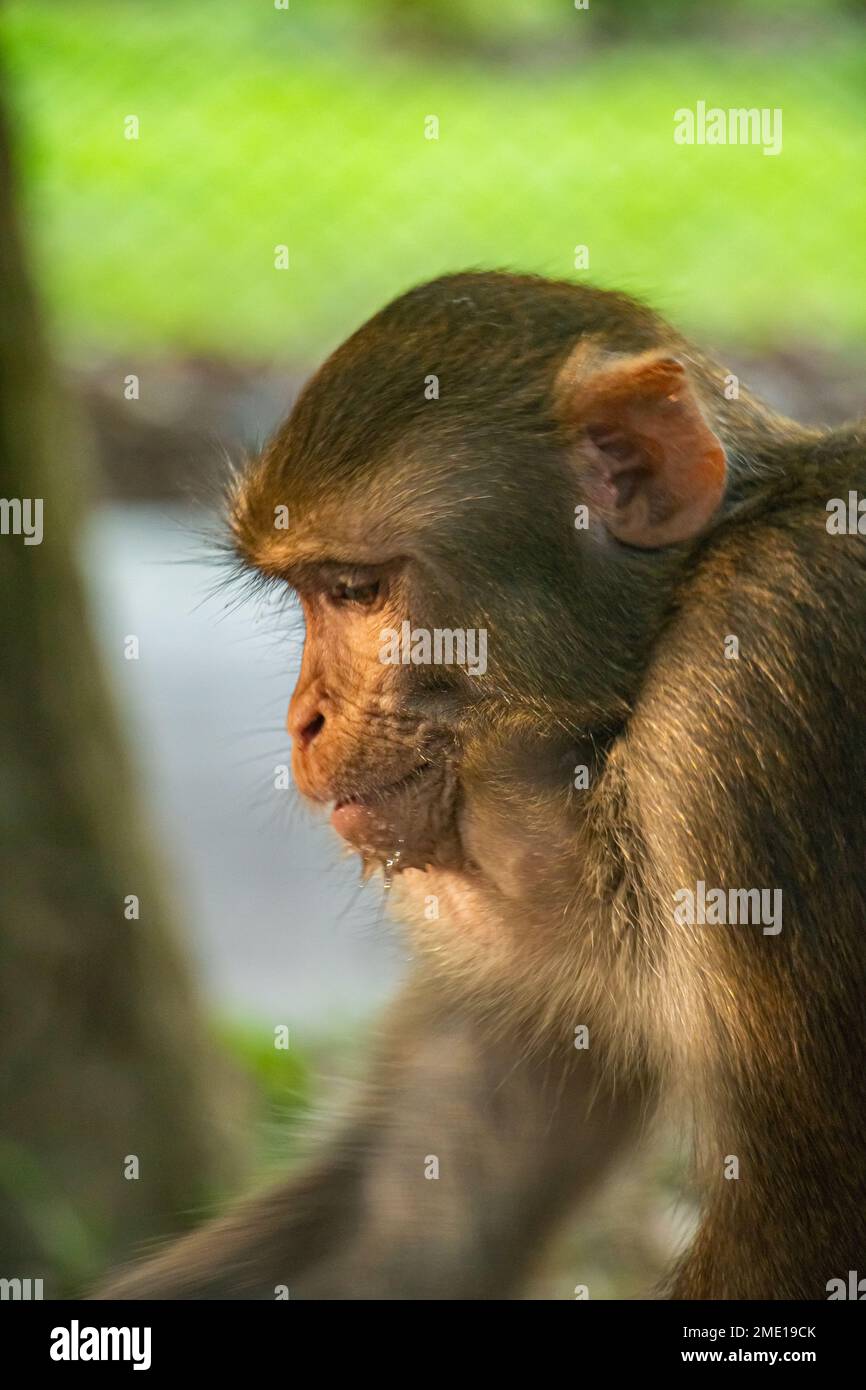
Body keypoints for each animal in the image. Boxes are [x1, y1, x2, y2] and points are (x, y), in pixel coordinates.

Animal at [99, 271, 866, 1300]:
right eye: (312, 596)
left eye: (354, 591)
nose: (303, 723)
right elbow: (411, 1215)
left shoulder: (754, 683)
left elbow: (808, 1217)